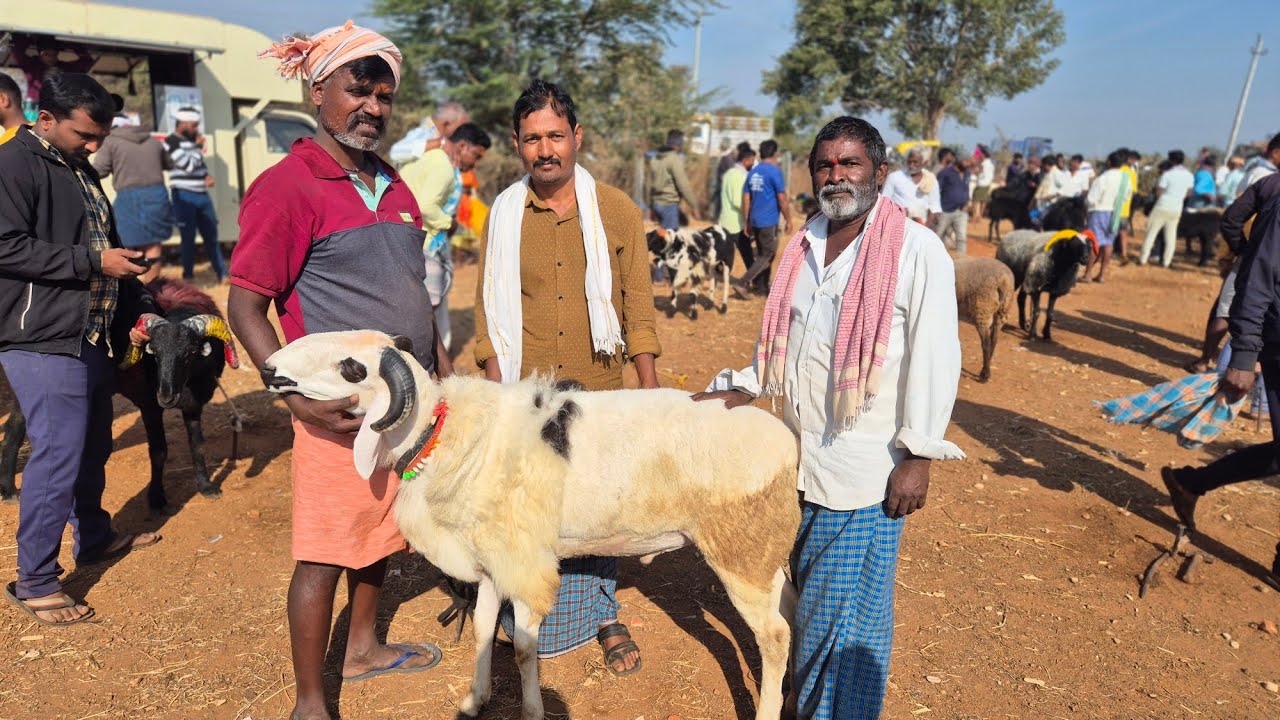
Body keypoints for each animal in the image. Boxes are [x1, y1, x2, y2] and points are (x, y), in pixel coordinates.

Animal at [0, 279, 240, 510]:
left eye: (190, 352)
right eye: (154, 352)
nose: (166, 396)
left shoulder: (194, 404)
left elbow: (198, 445)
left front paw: (206, 487)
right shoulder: (149, 406)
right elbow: (159, 451)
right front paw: (156, 498)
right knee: (13, 430)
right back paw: (9, 491)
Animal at [261, 330, 800, 720]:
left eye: (350, 367)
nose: (269, 368)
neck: (443, 432)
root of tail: (789, 444)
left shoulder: (523, 562)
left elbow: (523, 647)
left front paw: (534, 710)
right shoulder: (491, 561)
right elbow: (483, 630)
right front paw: (474, 700)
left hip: (742, 554)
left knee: (775, 636)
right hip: (769, 554)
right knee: (791, 612)